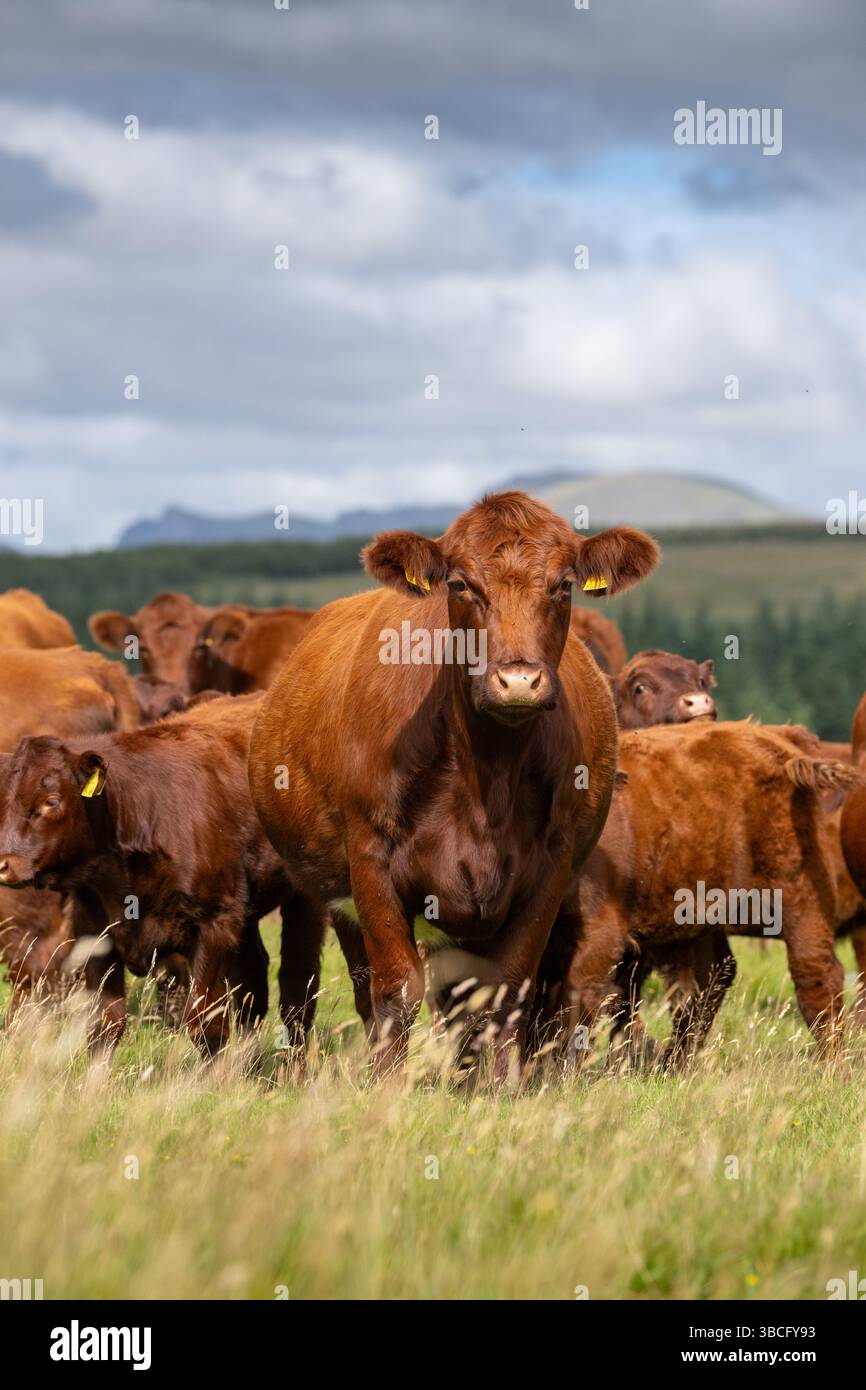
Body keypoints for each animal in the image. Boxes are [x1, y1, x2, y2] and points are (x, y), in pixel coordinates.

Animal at [0, 695, 300, 1055]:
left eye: (52, 801)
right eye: (4, 803)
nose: (5, 864)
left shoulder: (216, 924)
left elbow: (206, 1025)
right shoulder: (95, 930)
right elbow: (106, 1024)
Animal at [248, 490, 659, 1080]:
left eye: (563, 585)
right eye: (461, 584)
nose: (518, 681)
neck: (485, 773)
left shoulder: (548, 871)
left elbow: (506, 990)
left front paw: (496, 1086)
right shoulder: (370, 862)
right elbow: (394, 990)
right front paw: (386, 1085)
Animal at [543, 722, 853, 1067]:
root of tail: (782, 739)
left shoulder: (599, 935)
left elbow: (576, 1002)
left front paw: (557, 1072)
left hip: (798, 899)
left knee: (817, 976)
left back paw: (834, 1065)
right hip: (704, 915)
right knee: (713, 979)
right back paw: (673, 1063)